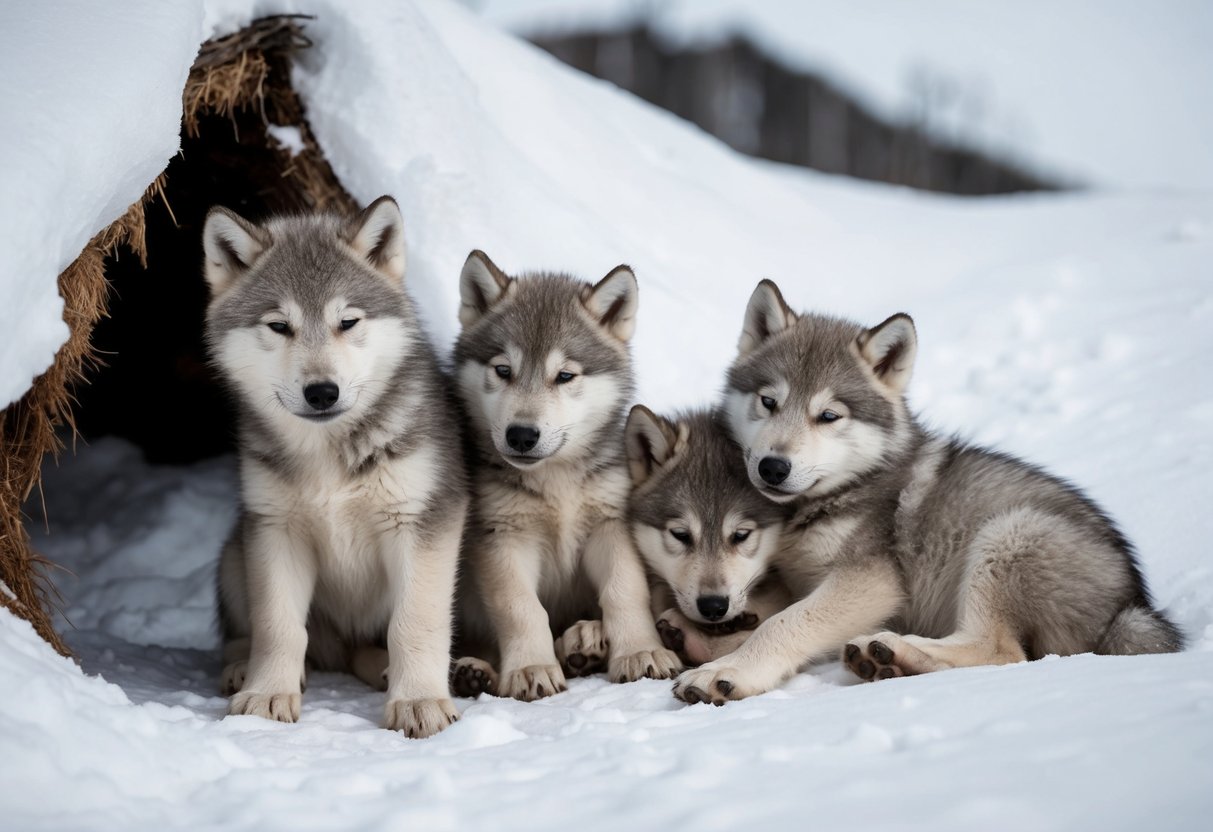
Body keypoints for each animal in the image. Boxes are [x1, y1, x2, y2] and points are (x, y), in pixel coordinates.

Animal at [204, 196, 466, 738]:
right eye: (279, 326)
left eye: (347, 322)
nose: (322, 392)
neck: (329, 454)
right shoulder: (275, 530)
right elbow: (277, 628)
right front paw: (266, 694)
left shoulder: (423, 523)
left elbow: (414, 624)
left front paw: (419, 701)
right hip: (235, 550)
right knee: (251, 635)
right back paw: (241, 667)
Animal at [451, 250, 681, 701]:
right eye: (503, 370)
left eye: (565, 376)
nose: (521, 435)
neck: (555, 482)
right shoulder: (503, 538)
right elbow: (521, 608)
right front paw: (531, 668)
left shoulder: (610, 526)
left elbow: (625, 592)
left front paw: (640, 652)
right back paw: (471, 672)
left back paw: (585, 640)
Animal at [673, 279, 1183, 704]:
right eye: (768, 402)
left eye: (829, 416)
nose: (773, 467)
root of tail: (1131, 605)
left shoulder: (871, 580)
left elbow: (784, 623)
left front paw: (728, 672)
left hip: (1007, 534)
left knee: (1001, 649)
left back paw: (893, 651)